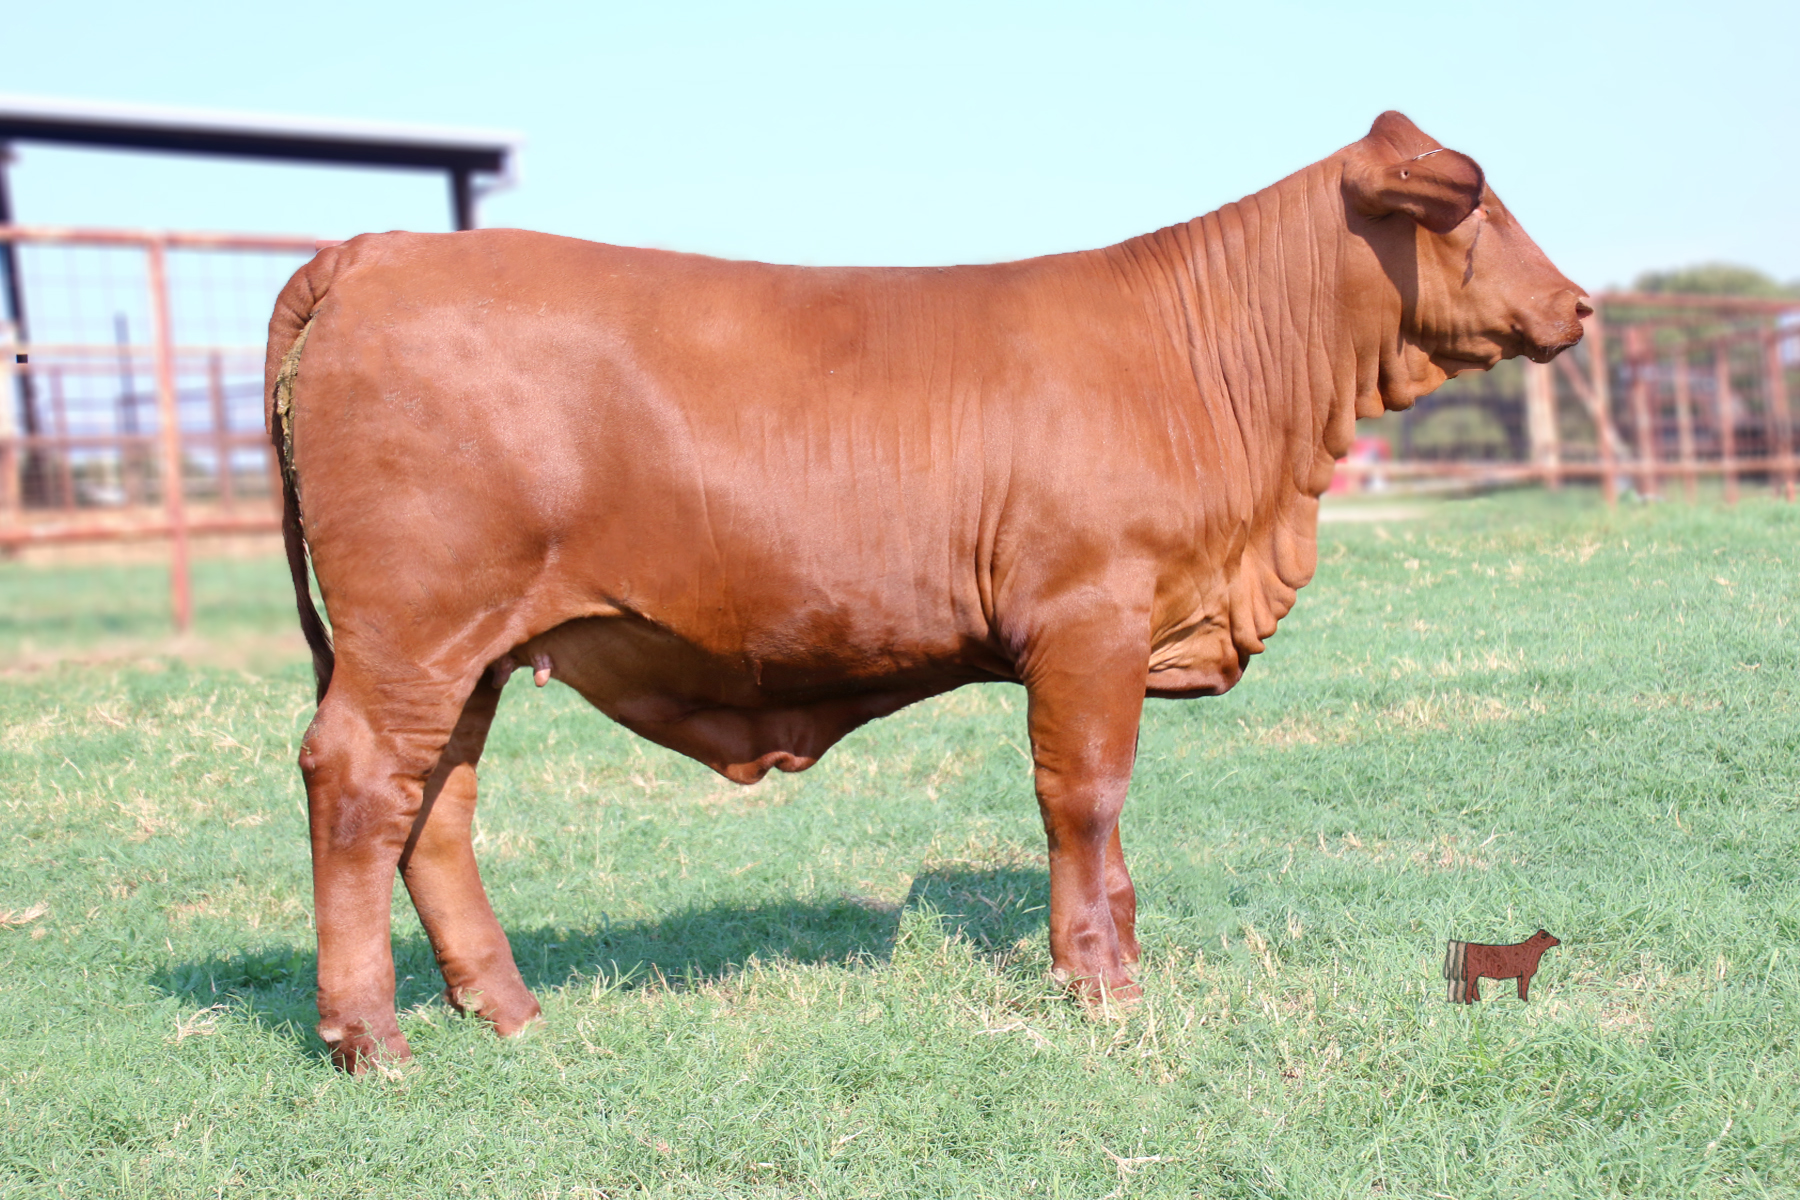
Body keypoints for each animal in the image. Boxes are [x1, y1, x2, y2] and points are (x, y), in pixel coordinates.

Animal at [266, 111, 1587, 1070]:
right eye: (1480, 204)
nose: (1578, 302)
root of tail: (380, 250)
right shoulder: (1088, 619)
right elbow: (1085, 798)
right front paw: (1100, 984)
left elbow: (1106, 821)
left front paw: (1123, 961)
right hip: (413, 633)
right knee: (358, 784)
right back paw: (370, 1039)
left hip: (467, 650)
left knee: (436, 808)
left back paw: (508, 1012)